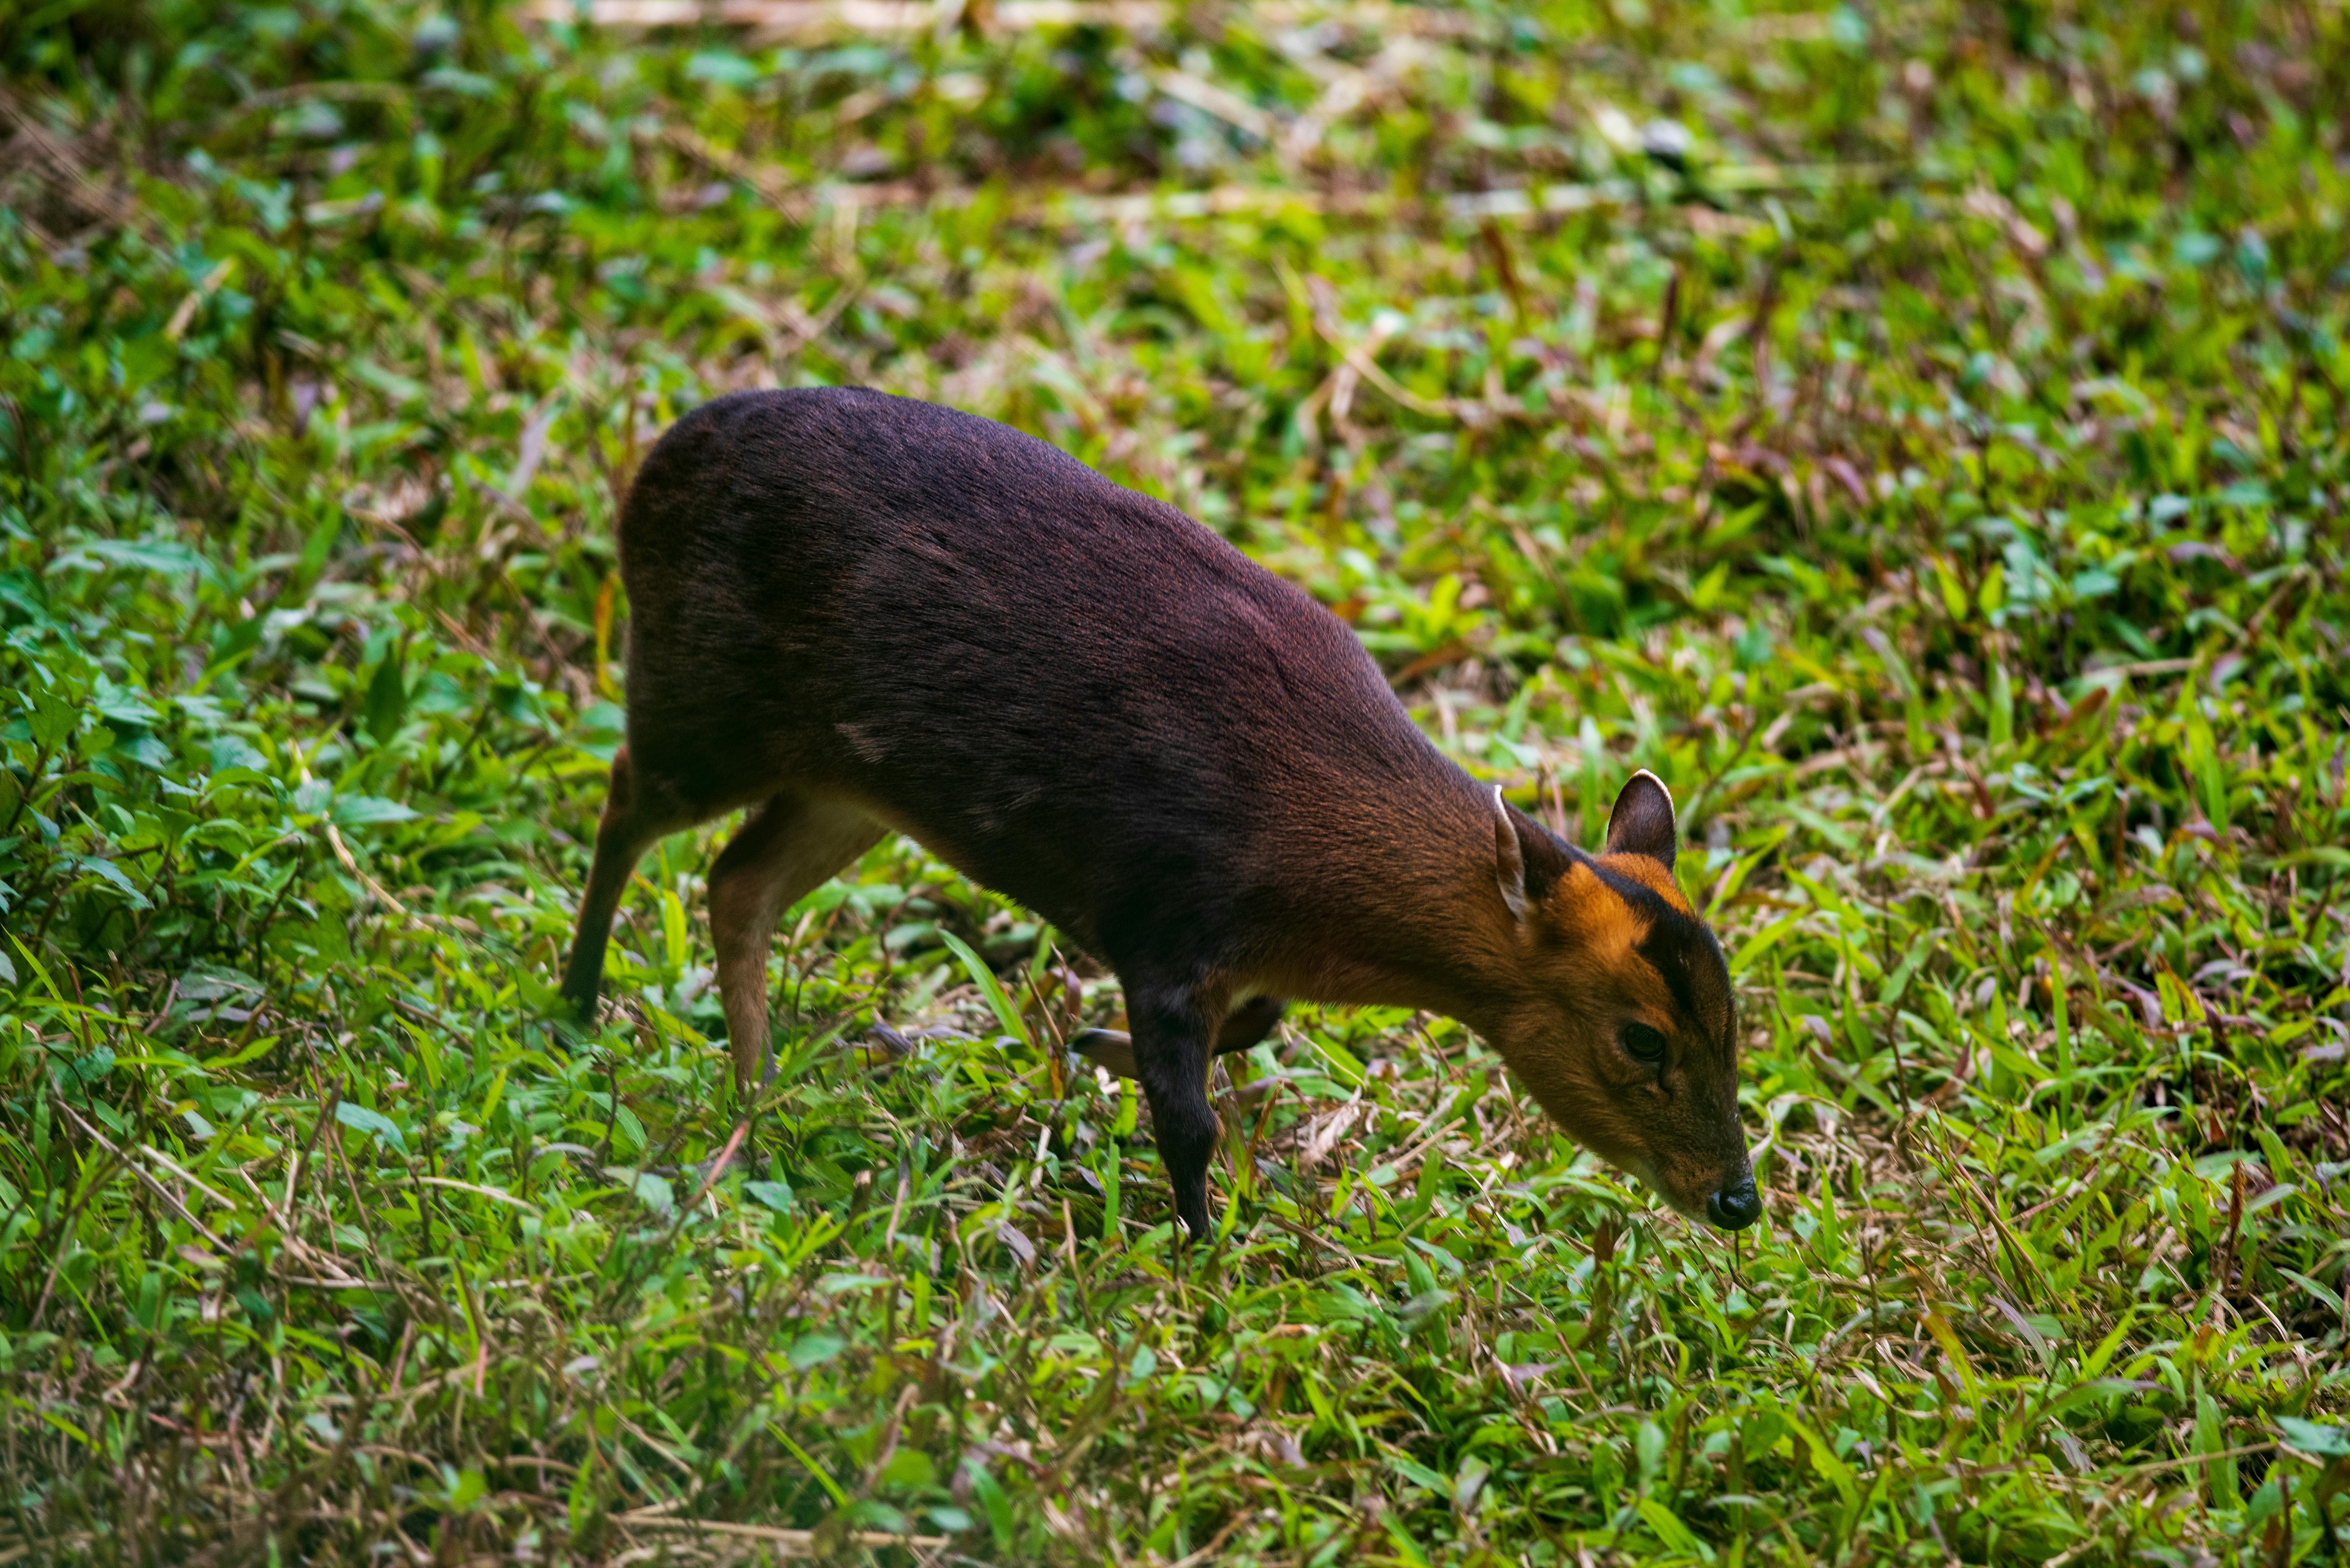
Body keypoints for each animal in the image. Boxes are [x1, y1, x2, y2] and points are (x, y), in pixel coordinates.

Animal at [559, 386, 1760, 1241]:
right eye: (1640, 1037)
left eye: (1738, 1019)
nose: (1737, 1199)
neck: (1313, 870)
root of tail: (658, 461)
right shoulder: (1164, 919)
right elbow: (1190, 1122)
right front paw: (1201, 1256)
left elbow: (1259, 1026)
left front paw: (1089, 1045)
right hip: (703, 700)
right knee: (626, 796)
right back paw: (577, 1007)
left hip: (848, 782)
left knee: (737, 881)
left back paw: (755, 1097)